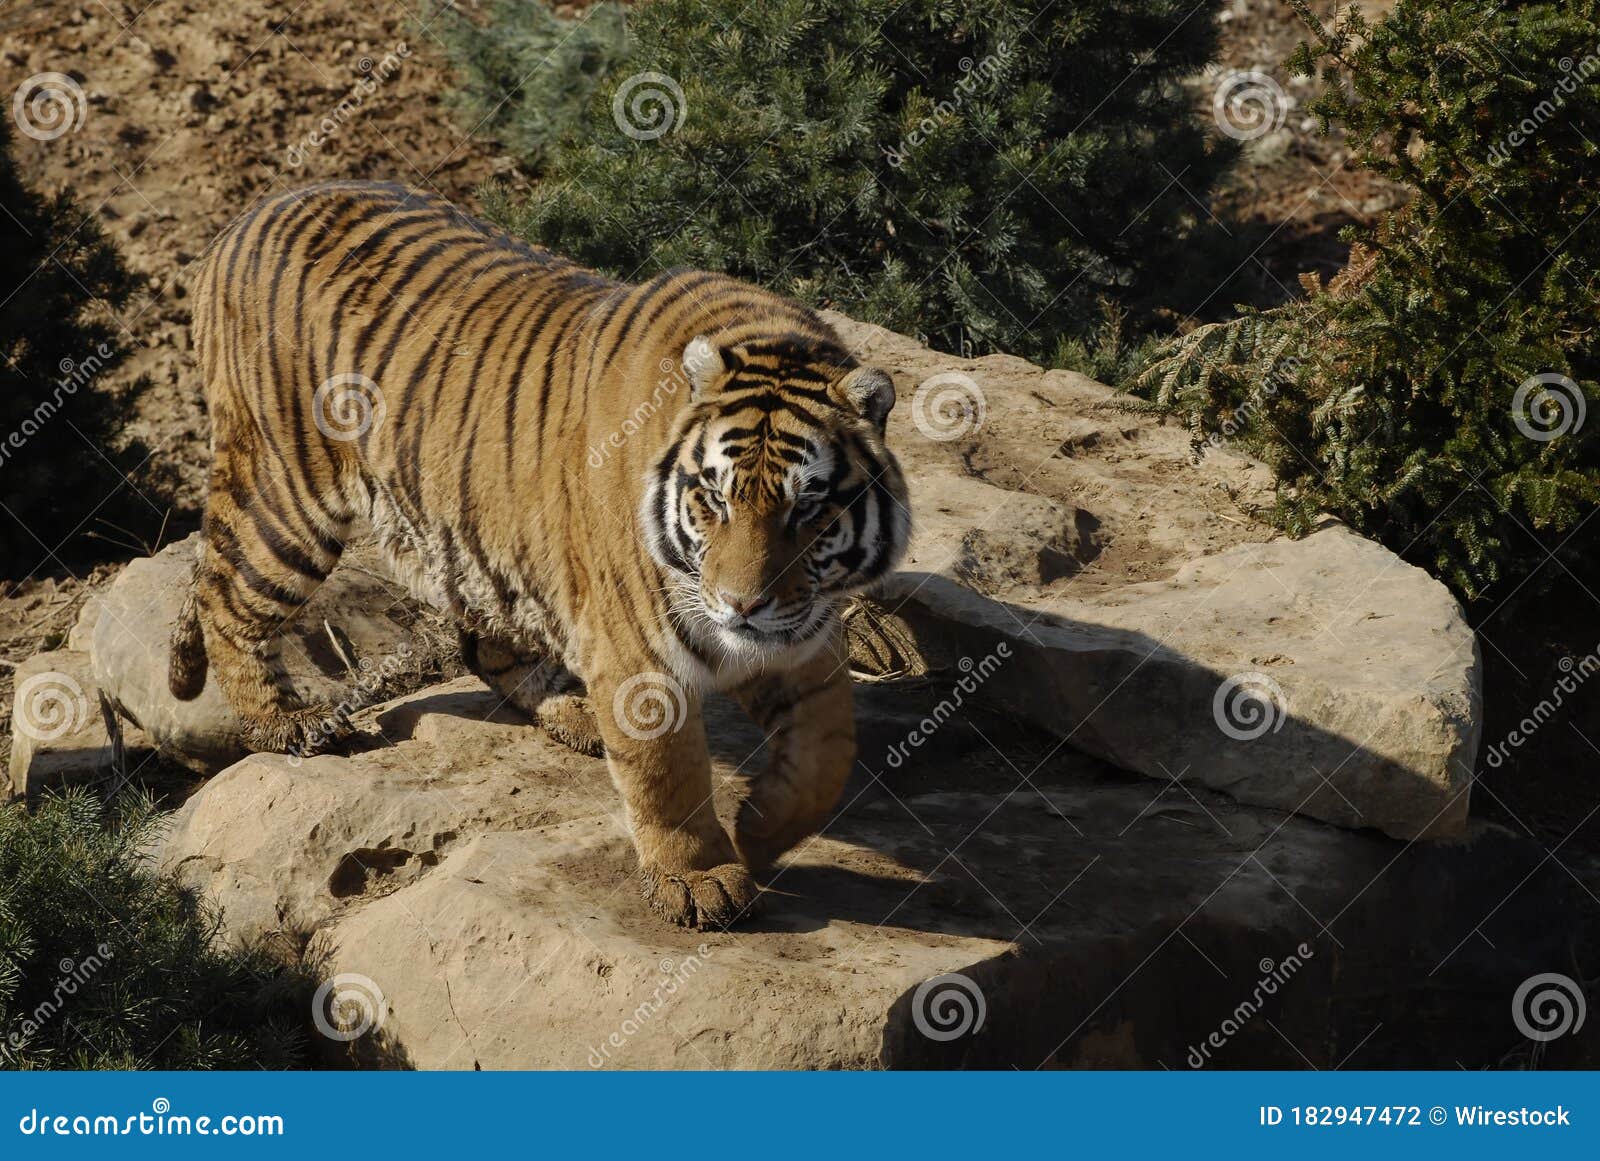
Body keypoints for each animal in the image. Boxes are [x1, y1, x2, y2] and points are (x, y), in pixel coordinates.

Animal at [167, 180, 911, 930]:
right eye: (714, 497)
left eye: (807, 509)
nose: (742, 605)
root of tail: (246, 216)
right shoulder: (643, 646)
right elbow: (667, 770)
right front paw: (698, 879)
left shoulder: (801, 635)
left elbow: (828, 751)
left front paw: (759, 829)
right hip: (286, 495)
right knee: (224, 595)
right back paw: (286, 723)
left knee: (487, 642)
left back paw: (576, 709)